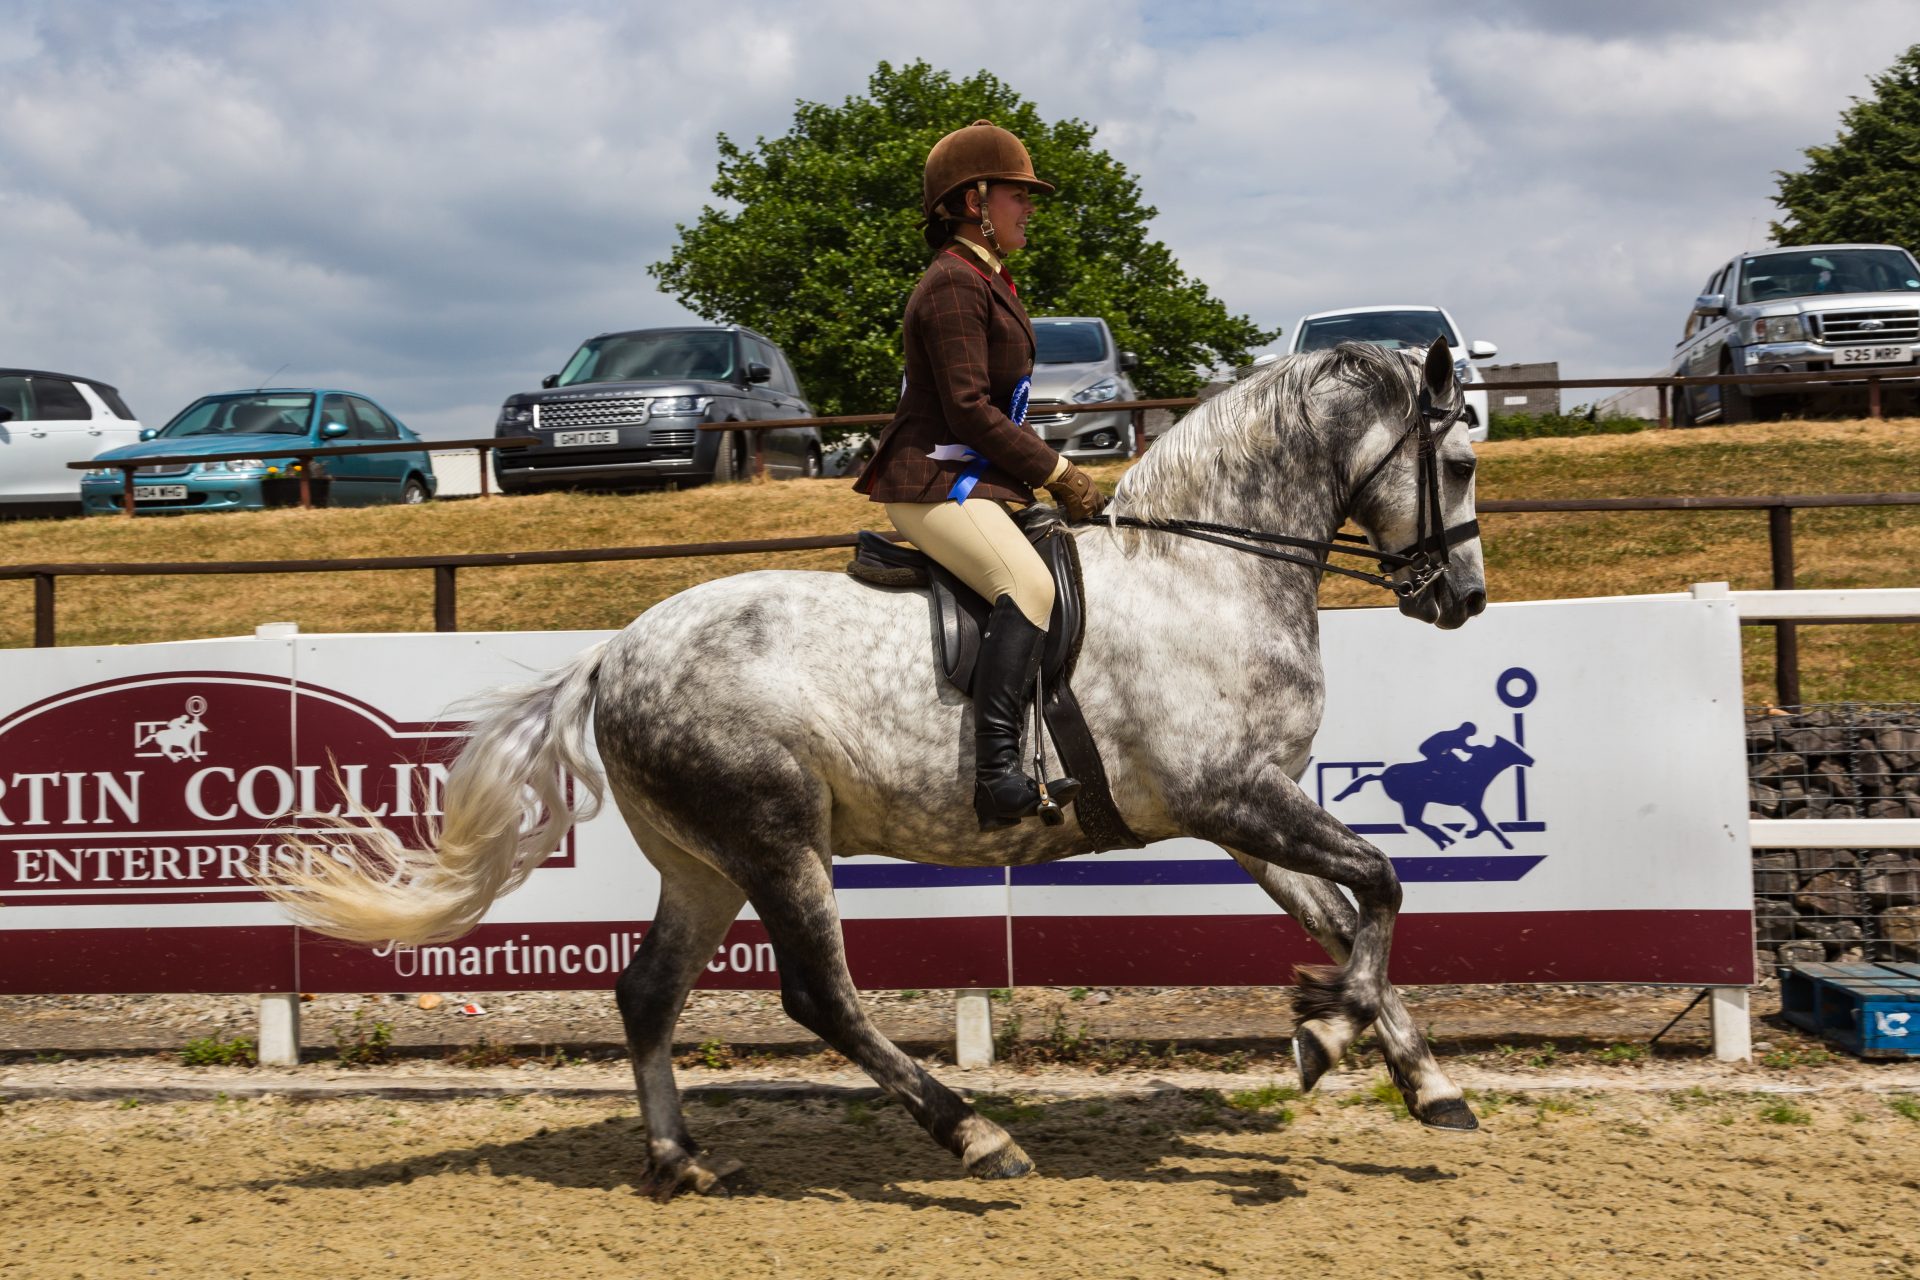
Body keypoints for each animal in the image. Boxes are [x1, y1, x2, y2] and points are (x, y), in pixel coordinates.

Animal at [263, 339, 1488, 1200]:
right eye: (1461, 461)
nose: (1464, 601)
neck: (1206, 569)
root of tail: (614, 651)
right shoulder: (1233, 794)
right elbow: (1381, 886)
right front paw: (1323, 1032)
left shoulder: (1237, 811)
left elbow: (1346, 912)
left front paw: (1422, 1080)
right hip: (778, 835)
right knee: (821, 995)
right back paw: (976, 1135)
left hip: (702, 862)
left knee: (649, 990)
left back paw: (681, 1160)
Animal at [1333, 736, 1535, 850]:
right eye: (1511, 748)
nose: (1531, 760)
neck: (1475, 770)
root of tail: (1382, 775)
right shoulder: (1471, 803)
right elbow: (1488, 823)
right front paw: (1506, 843)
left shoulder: (1471, 805)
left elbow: (1484, 823)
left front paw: (1472, 832)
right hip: (1414, 801)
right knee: (1414, 821)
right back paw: (1444, 839)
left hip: (1415, 802)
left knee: (1415, 821)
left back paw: (1445, 838)